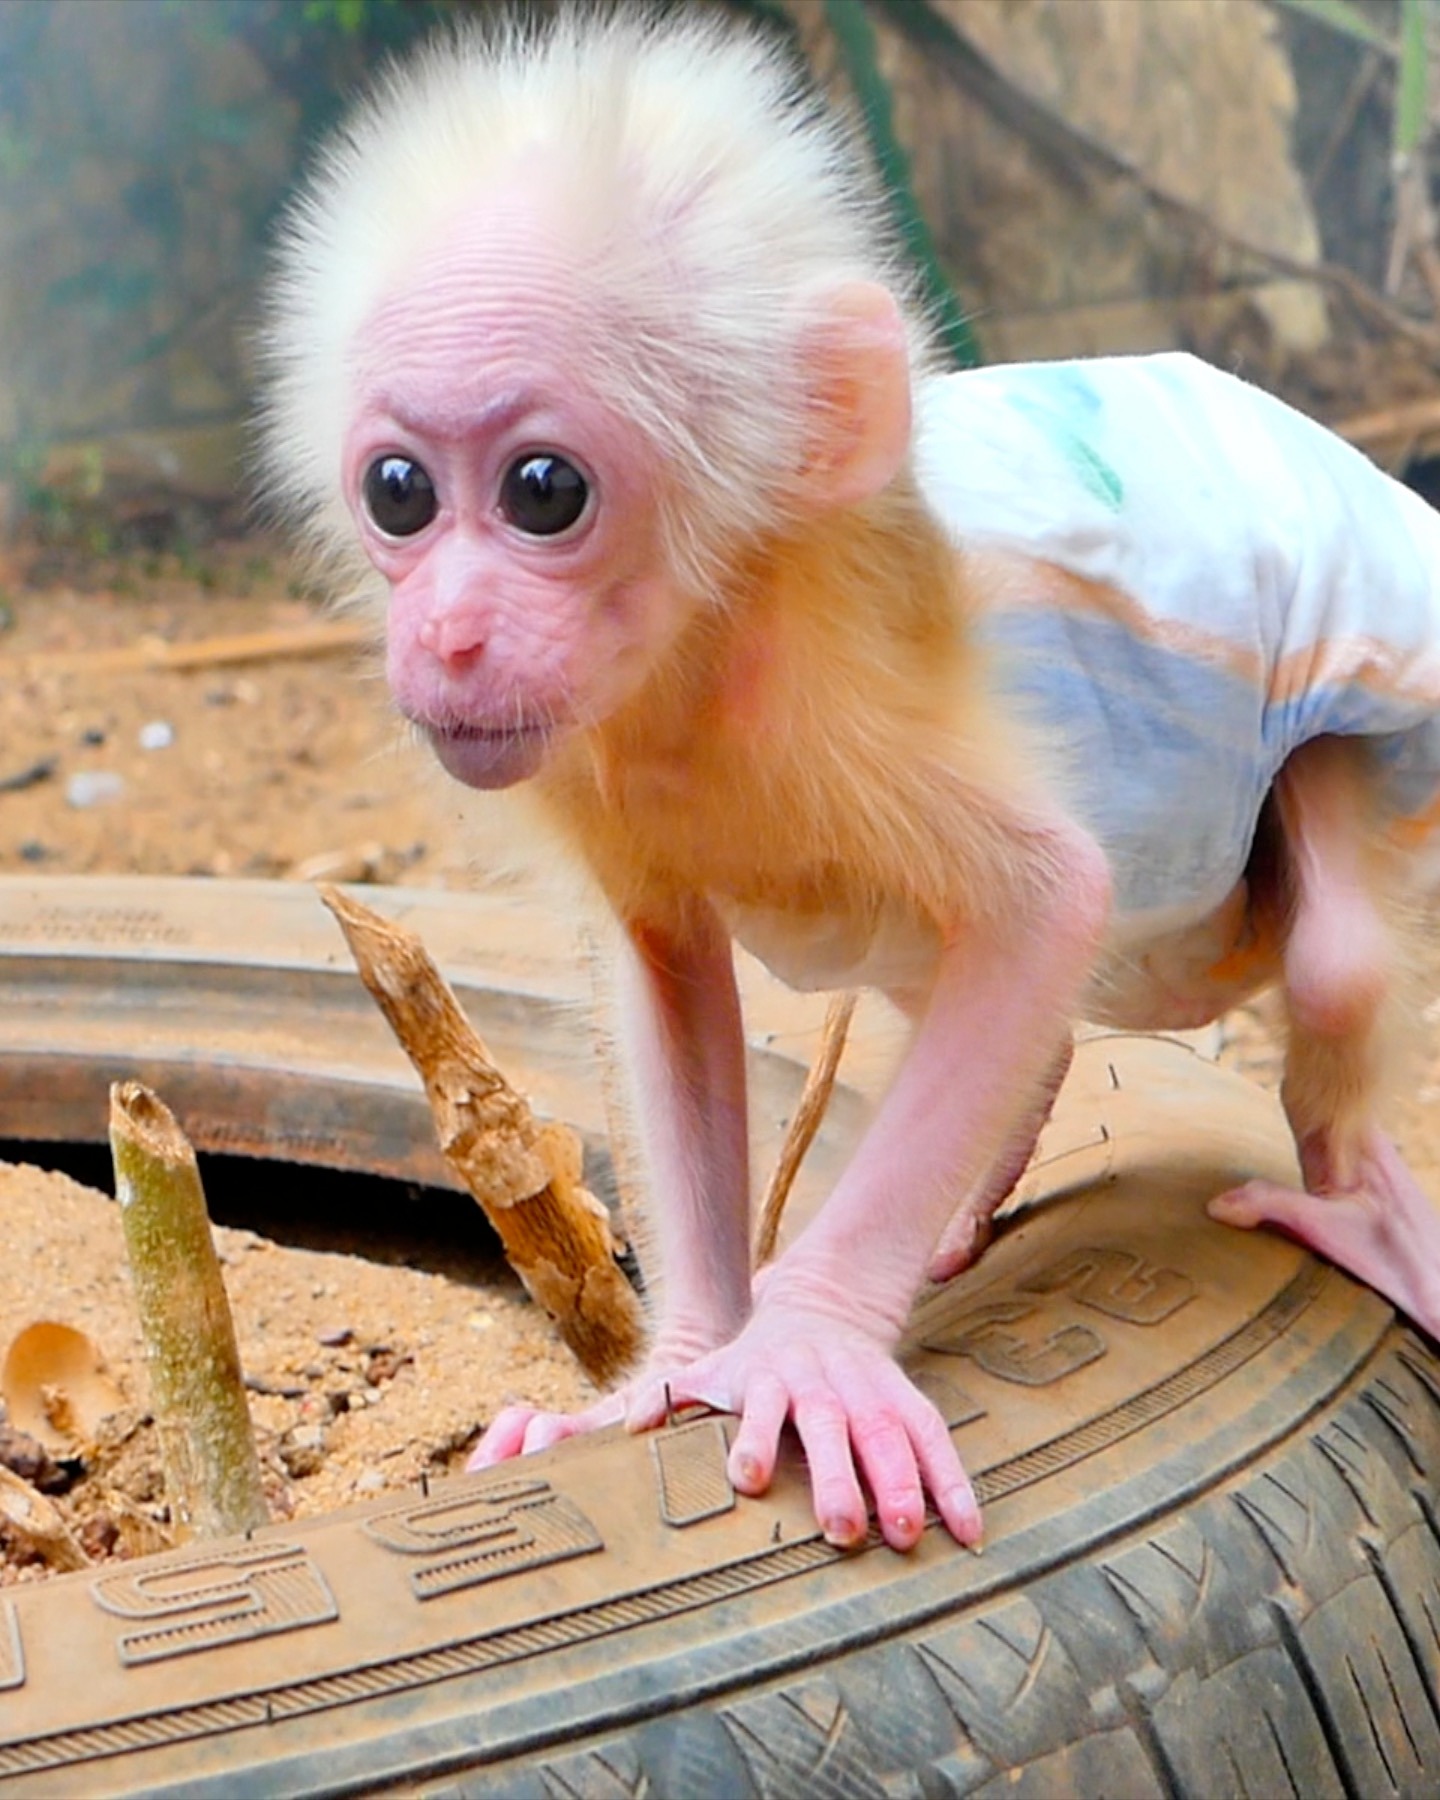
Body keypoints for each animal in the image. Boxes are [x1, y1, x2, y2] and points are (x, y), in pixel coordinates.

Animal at [259, 8, 1440, 1553]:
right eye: (397, 492)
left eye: (542, 492)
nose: (447, 633)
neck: (699, 656)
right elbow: (669, 969)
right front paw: (676, 1368)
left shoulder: (843, 690)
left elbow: (1048, 903)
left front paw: (810, 1345)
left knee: (1337, 962)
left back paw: (1359, 1215)